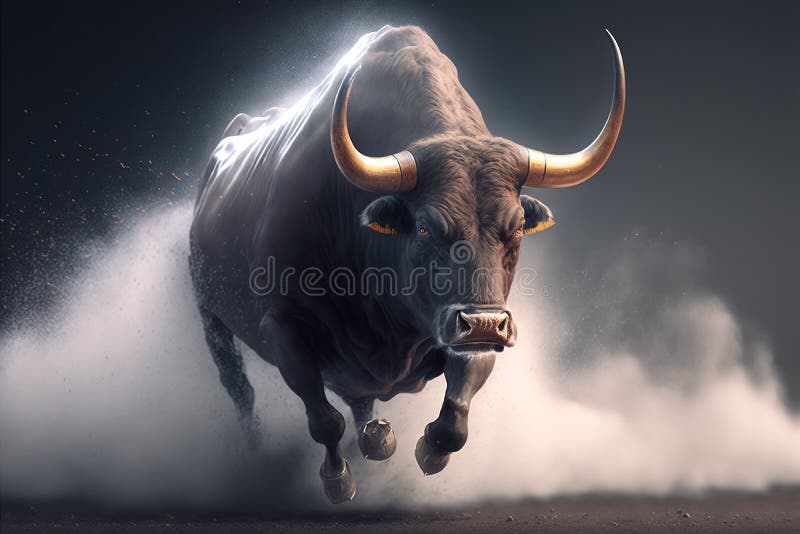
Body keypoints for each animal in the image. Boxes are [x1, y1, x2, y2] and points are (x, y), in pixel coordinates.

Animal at [190, 25, 625, 503]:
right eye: (424, 227)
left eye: (514, 228)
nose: (486, 323)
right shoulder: (283, 326)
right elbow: (322, 418)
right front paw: (338, 480)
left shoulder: (467, 329)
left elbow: (455, 416)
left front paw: (426, 449)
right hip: (211, 317)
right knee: (240, 389)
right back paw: (261, 452)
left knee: (359, 401)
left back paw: (375, 439)